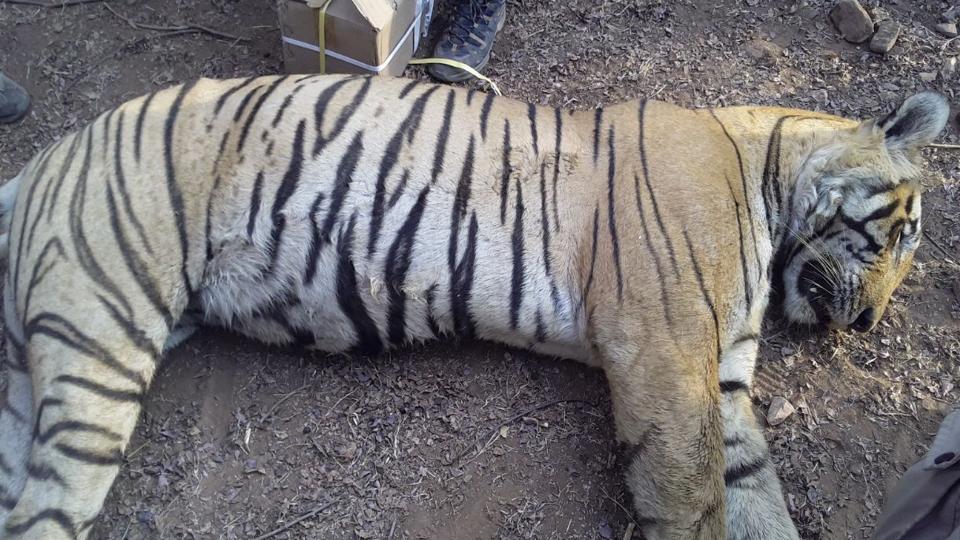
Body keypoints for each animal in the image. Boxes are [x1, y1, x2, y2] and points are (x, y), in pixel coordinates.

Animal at [0, 74, 949, 539]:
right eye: (902, 236)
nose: (868, 325)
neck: (770, 193)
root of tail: (47, 158)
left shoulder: (720, 380)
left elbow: (758, 495)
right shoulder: (669, 354)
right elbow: (695, 499)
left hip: (30, 374)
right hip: (100, 346)